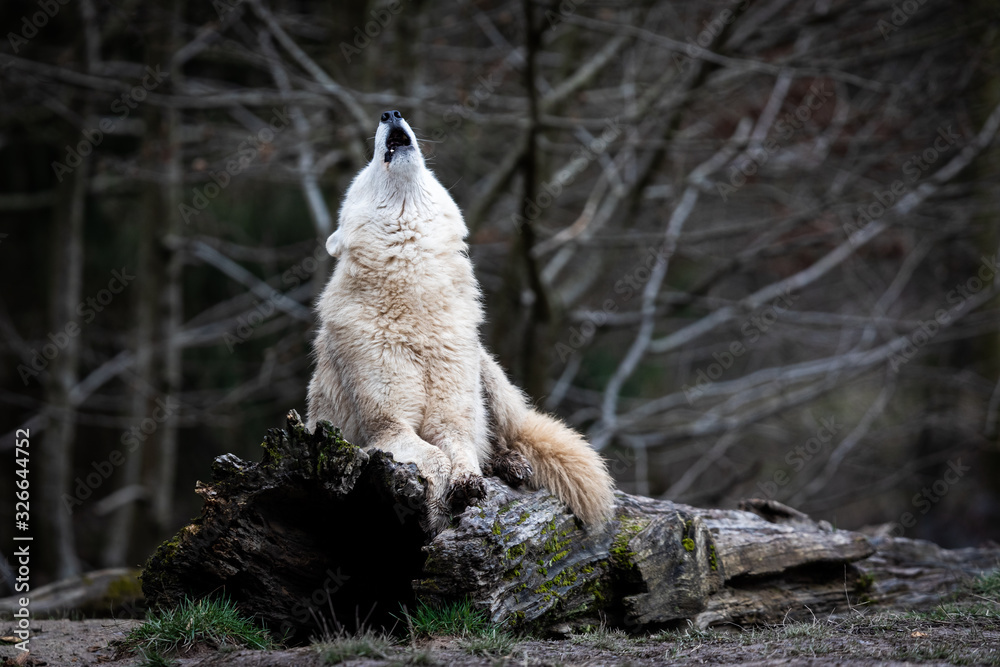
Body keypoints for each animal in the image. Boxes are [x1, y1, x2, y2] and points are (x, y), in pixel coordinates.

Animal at [306, 110, 615, 530]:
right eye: (367, 170)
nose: (390, 113)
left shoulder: (451, 419)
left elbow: (461, 450)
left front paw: (467, 482)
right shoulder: (386, 429)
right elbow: (435, 459)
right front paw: (437, 506)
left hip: (486, 372)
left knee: (506, 439)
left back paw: (511, 464)